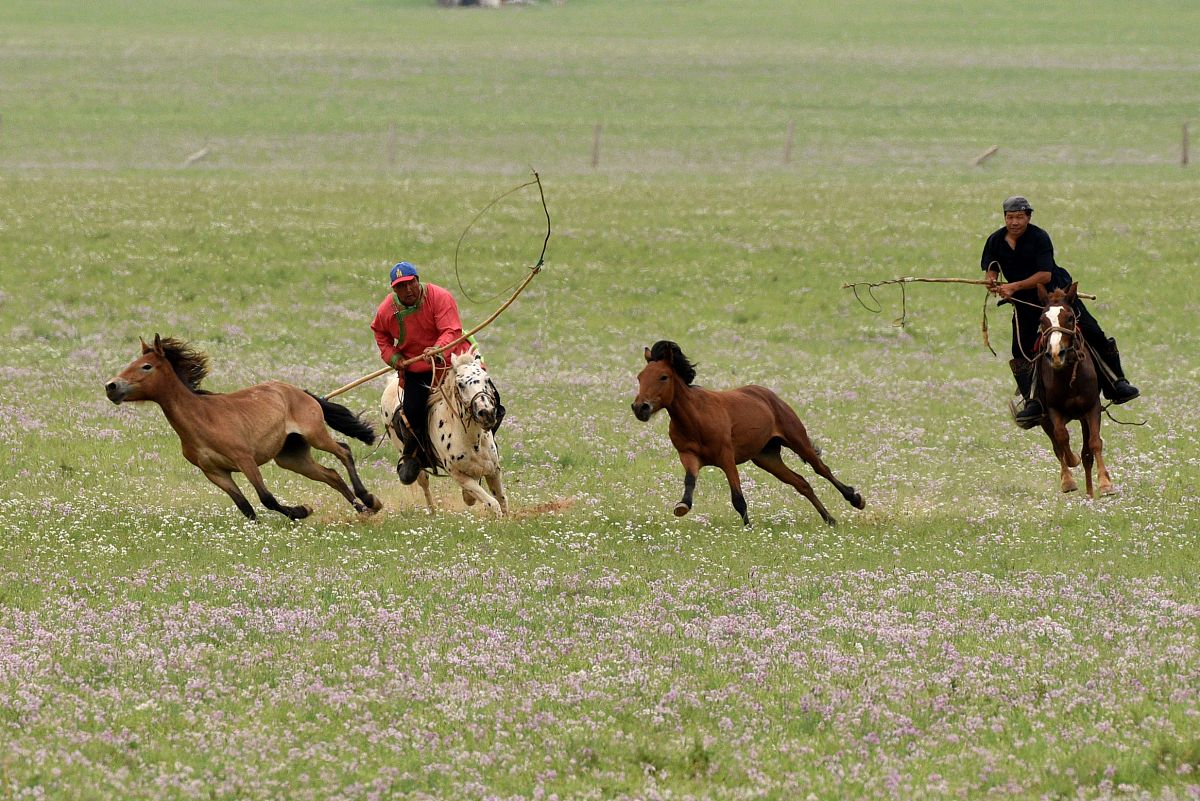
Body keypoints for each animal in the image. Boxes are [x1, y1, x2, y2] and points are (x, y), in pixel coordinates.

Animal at [105, 334, 383, 520]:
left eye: (146, 366)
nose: (111, 386)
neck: (202, 418)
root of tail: (301, 392)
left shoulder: (245, 460)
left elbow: (266, 498)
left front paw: (301, 511)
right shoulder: (215, 472)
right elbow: (245, 506)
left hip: (315, 435)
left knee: (344, 450)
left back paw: (369, 499)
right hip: (292, 457)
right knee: (331, 475)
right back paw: (363, 509)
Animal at [381, 346, 507, 515]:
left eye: (487, 379)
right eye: (460, 384)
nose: (486, 413)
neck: (471, 439)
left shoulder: (493, 470)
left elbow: (502, 500)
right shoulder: (458, 476)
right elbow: (492, 504)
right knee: (424, 484)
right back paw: (433, 511)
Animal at [631, 340, 865, 526]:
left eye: (663, 377)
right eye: (640, 377)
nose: (639, 407)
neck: (696, 418)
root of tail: (769, 395)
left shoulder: (726, 457)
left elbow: (737, 497)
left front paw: (748, 527)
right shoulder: (689, 456)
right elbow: (690, 482)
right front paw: (682, 505)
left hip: (798, 441)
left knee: (821, 469)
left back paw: (855, 500)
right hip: (767, 458)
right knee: (801, 483)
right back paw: (829, 519)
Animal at [1034, 283, 1115, 498]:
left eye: (1070, 318)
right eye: (1042, 320)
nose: (1056, 354)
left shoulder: (1092, 407)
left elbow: (1095, 443)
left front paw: (1105, 484)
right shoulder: (1053, 410)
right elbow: (1061, 437)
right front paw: (1069, 477)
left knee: (1087, 454)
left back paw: (1090, 493)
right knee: (1057, 445)